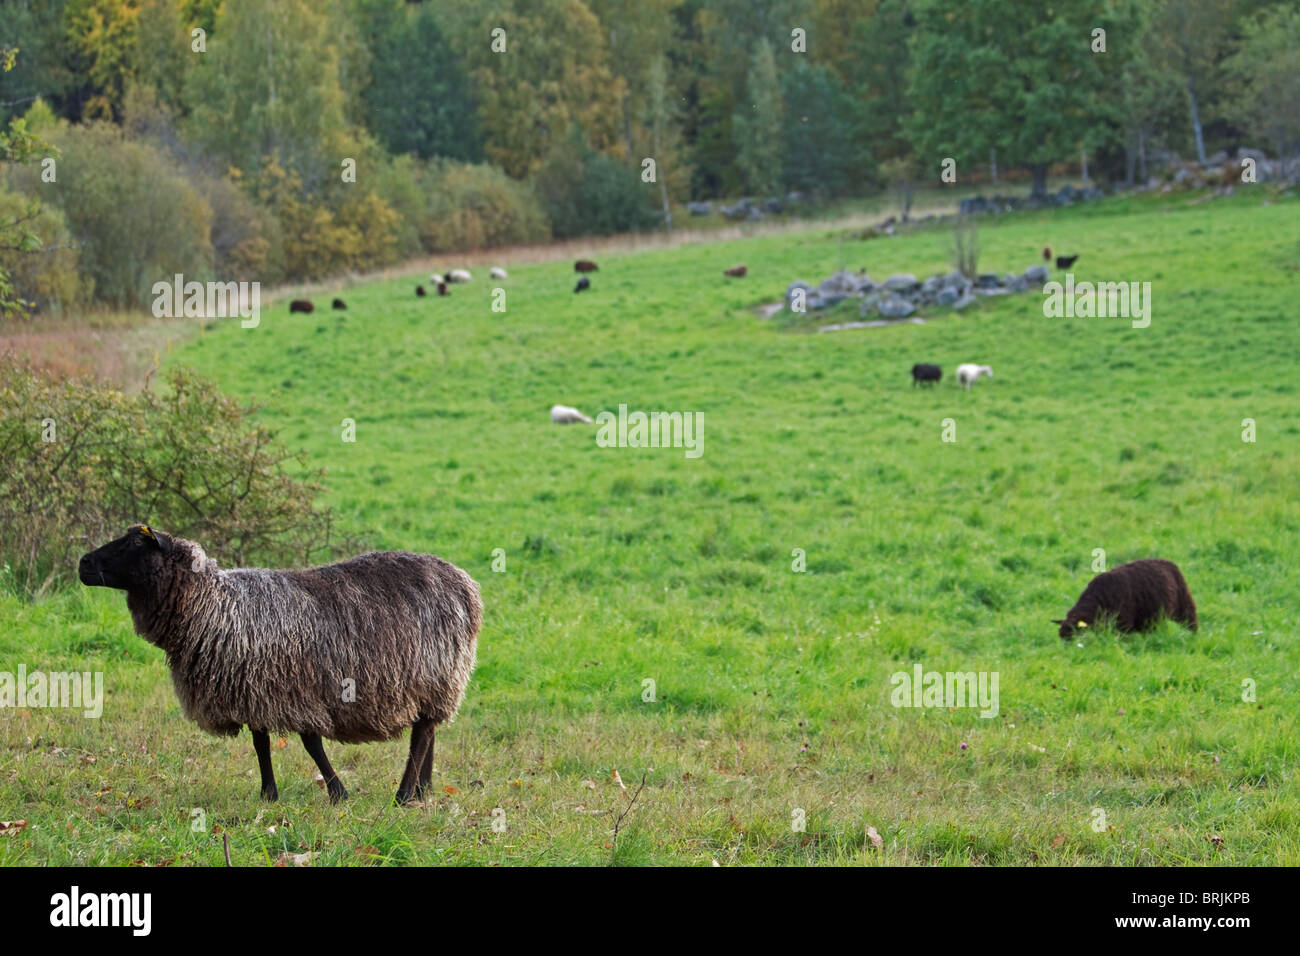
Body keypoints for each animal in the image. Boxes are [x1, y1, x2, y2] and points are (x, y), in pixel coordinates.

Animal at [78, 525, 482, 807]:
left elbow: (311, 744)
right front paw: (268, 794)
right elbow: (261, 744)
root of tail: (463, 582)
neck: (214, 607)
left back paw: (403, 794)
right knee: (426, 730)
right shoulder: (253, 689)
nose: (83, 563)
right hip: (432, 681)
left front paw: (337, 792)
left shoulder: (295, 688)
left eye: (135, 543)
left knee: (422, 734)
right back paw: (422, 790)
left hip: (435, 674)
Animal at [1055, 559, 1197, 640]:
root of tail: (1169, 562)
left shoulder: (1124, 622)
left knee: (1191, 620)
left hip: (1183, 603)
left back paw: (1194, 637)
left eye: (1072, 635)